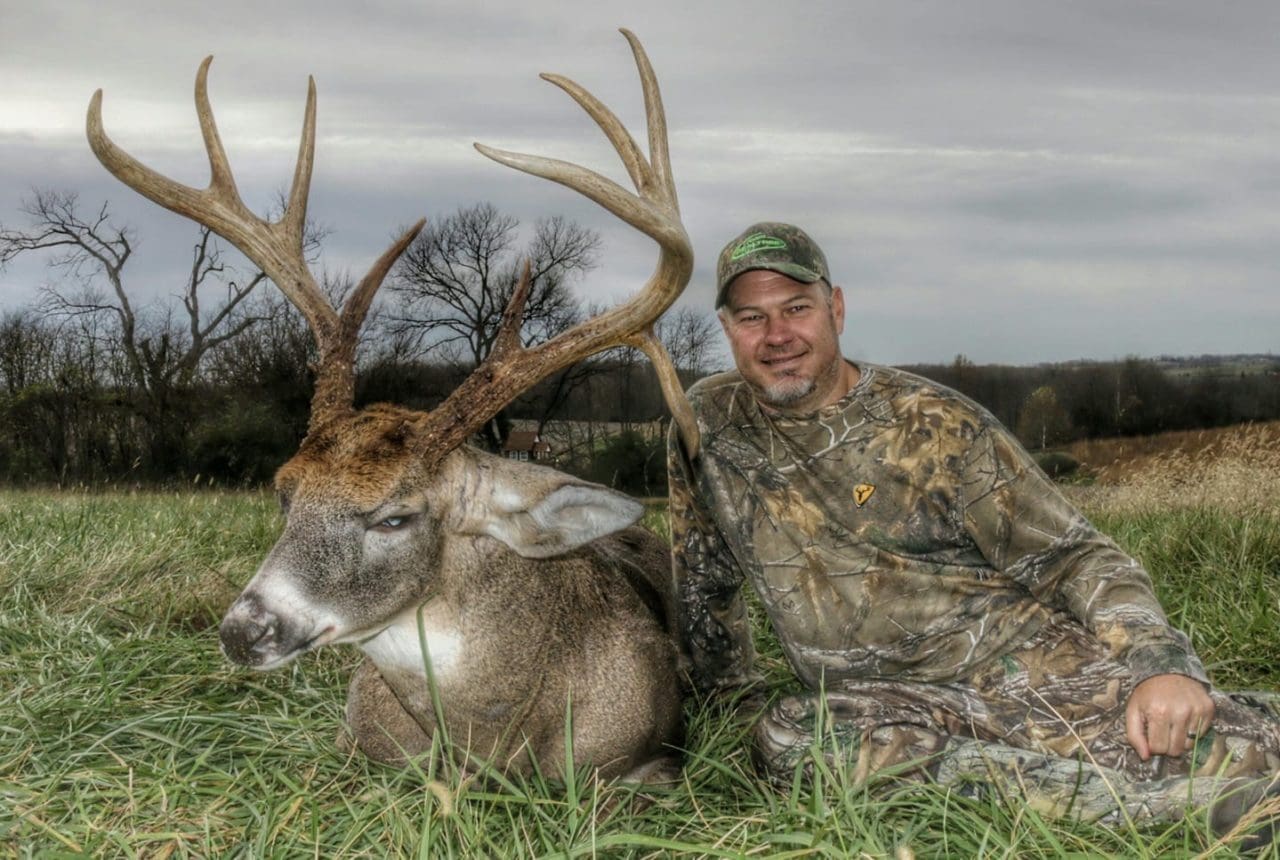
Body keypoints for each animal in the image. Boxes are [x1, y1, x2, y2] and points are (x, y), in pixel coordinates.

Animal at [85, 30, 702, 782]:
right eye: (284, 493)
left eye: (395, 517)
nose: (244, 629)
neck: (489, 739)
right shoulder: (359, 741)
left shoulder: (649, 764)